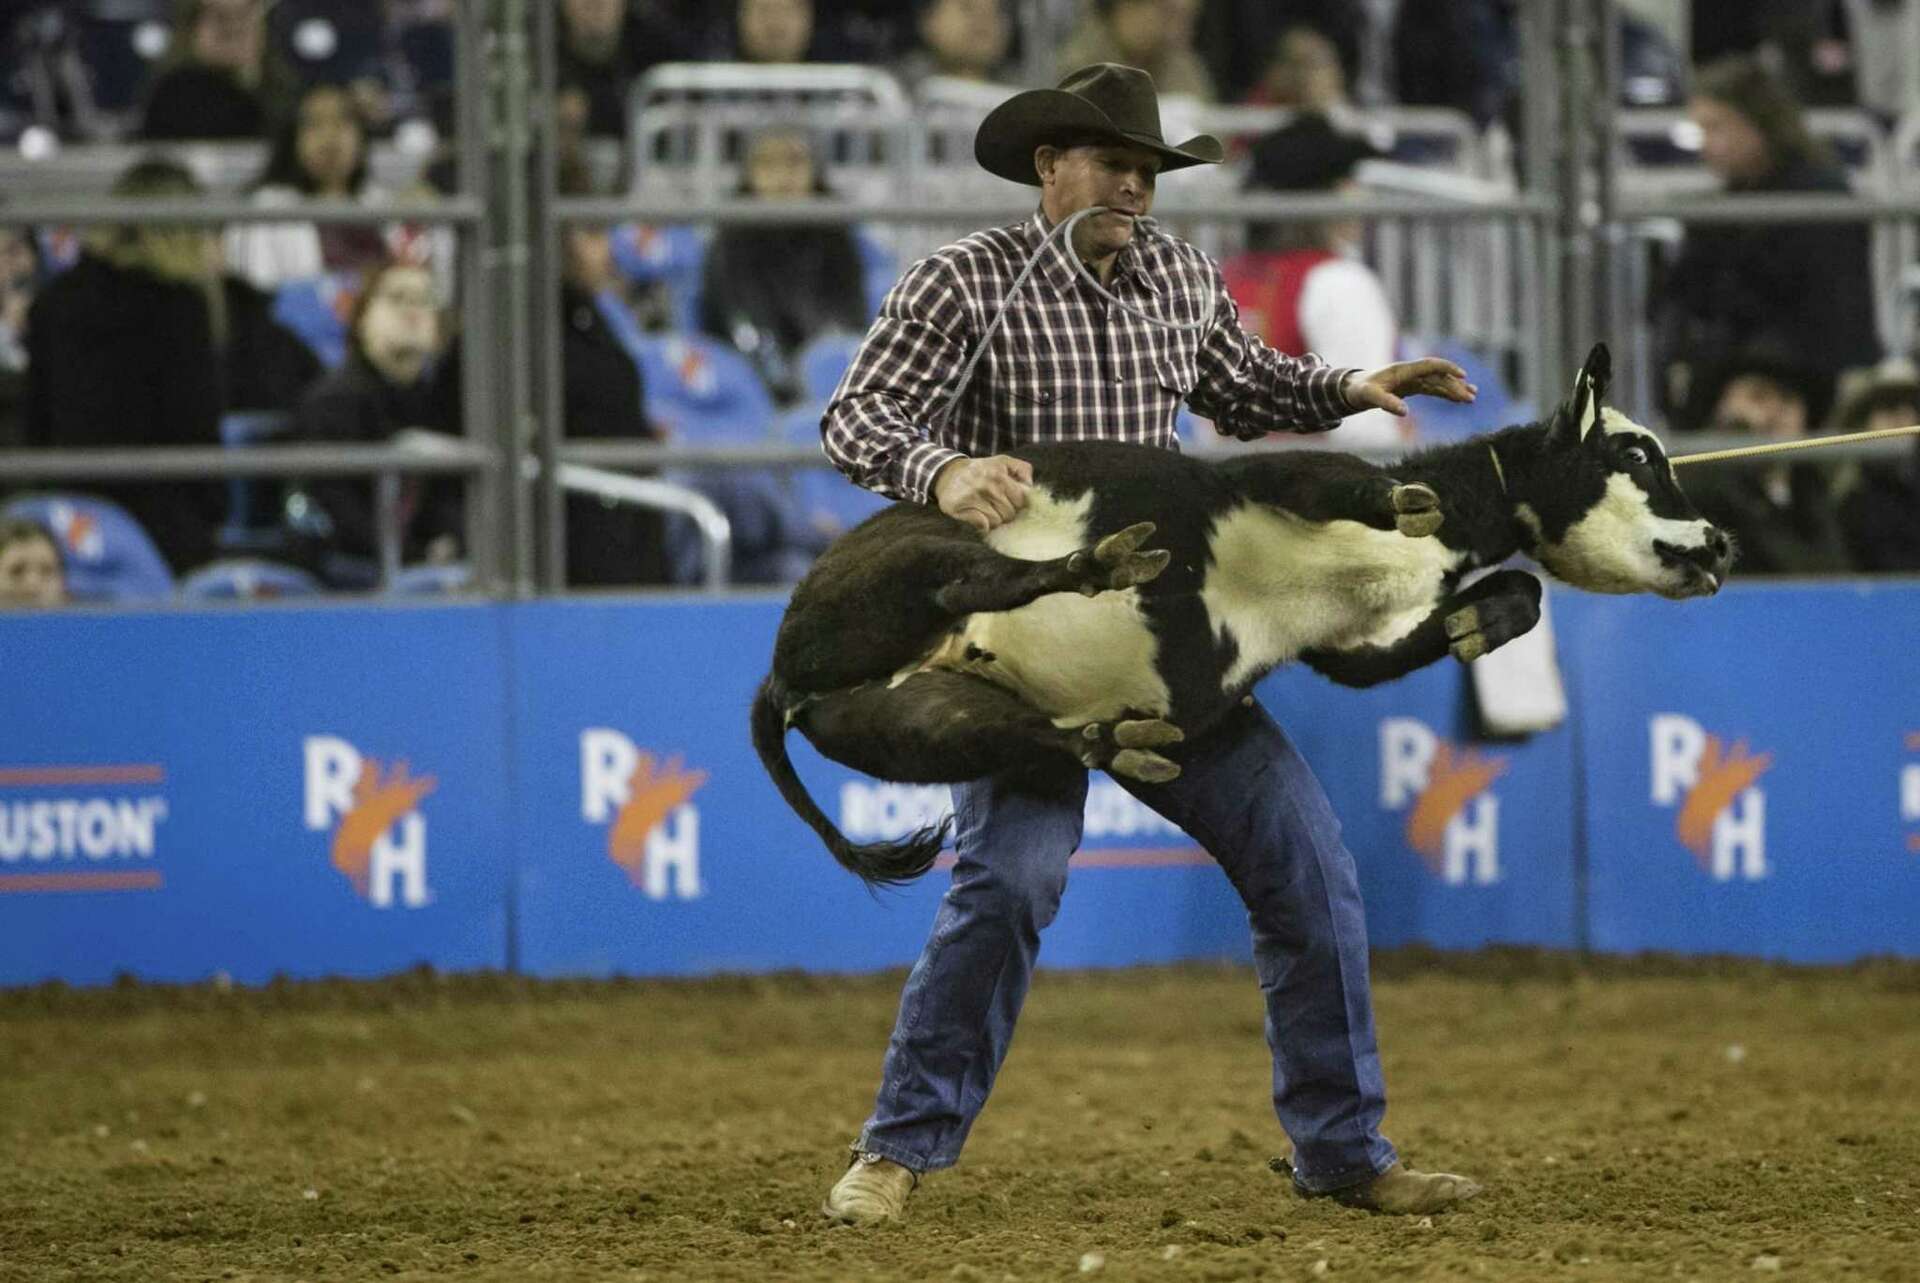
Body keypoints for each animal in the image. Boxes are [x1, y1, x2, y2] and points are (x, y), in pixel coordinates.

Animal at [752, 343, 1732, 886]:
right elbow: (1354, 486)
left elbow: (1494, 604)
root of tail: (777, 676)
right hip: (910, 564)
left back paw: (1126, 739)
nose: (1720, 542)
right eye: (1634, 453)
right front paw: (1402, 503)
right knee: (976, 582)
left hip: (917, 721)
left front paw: (1477, 623)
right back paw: (1101, 562)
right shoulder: (1268, 479)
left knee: (1030, 729)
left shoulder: (1350, 646)